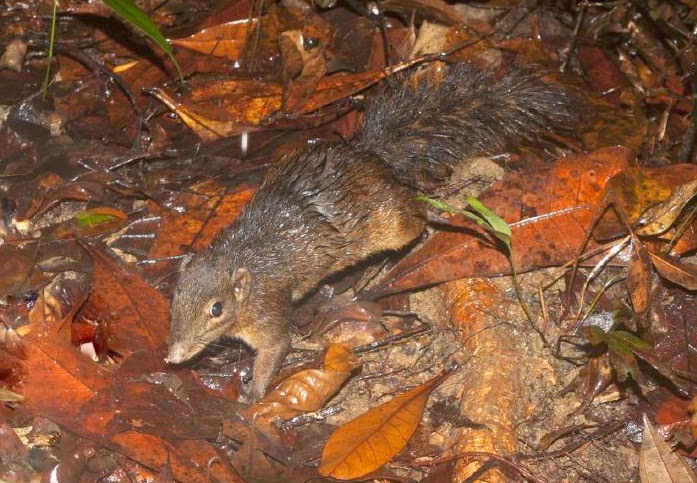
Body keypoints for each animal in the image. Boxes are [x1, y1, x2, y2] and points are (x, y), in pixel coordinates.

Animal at [166, 62, 577, 400]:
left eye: (217, 309)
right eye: (176, 296)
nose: (172, 356)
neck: (240, 255)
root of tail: (371, 155)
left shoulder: (269, 311)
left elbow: (275, 348)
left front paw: (253, 395)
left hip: (392, 222)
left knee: (414, 217)